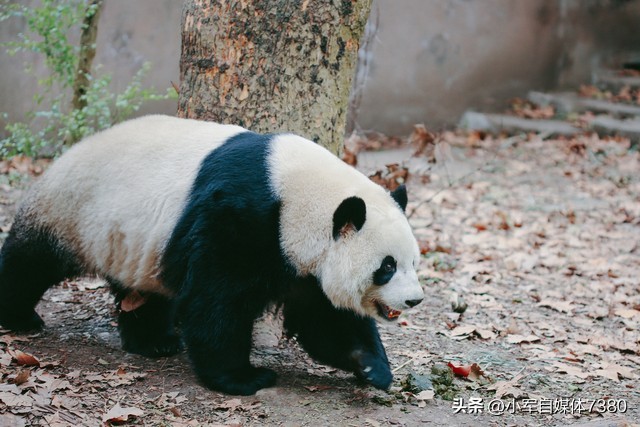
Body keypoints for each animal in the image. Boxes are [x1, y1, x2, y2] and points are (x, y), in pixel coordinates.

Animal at [0, 115, 424, 395]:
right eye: (387, 266)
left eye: (413, 262)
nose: (414, 300)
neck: (300, 196)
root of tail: (66, 154)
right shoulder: (242, 216)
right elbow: (217, 299)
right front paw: (242, 378)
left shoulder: (302, 263)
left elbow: (324, 318)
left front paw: (371, 367)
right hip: (72, 209)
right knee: (30, 261)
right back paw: (20, 317)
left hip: (131, 241)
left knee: (143, 293)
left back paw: (154, 342)